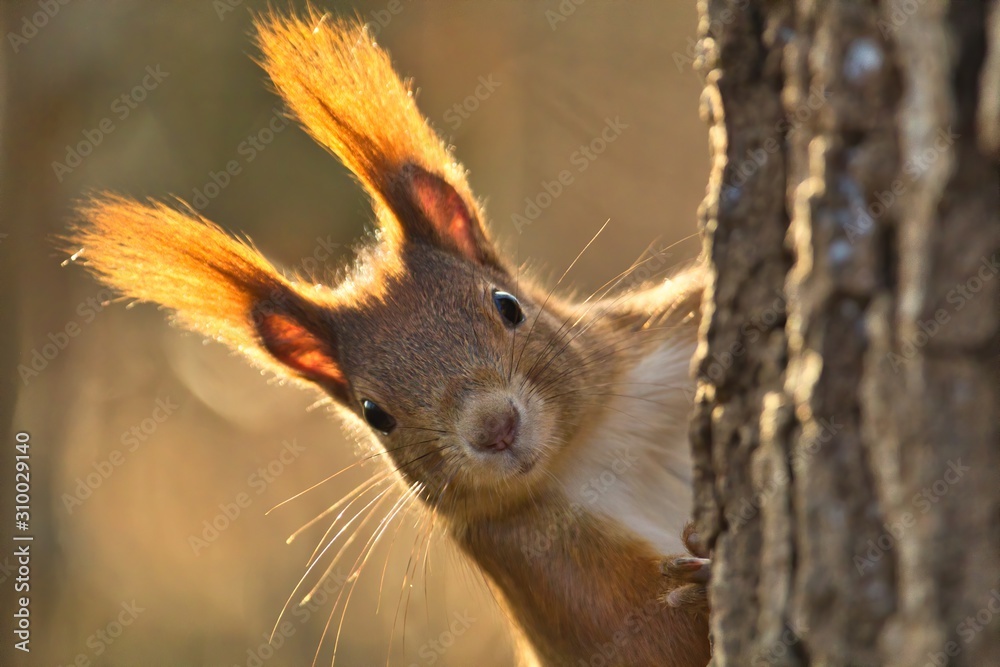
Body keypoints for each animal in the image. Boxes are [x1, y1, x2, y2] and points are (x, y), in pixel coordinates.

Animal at [66, 11, 712, 667]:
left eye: (507, 307)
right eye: (376, 412)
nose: (494, 427)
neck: (591, 450)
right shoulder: (542, 568)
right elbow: (643, 641)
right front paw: (697, 589)